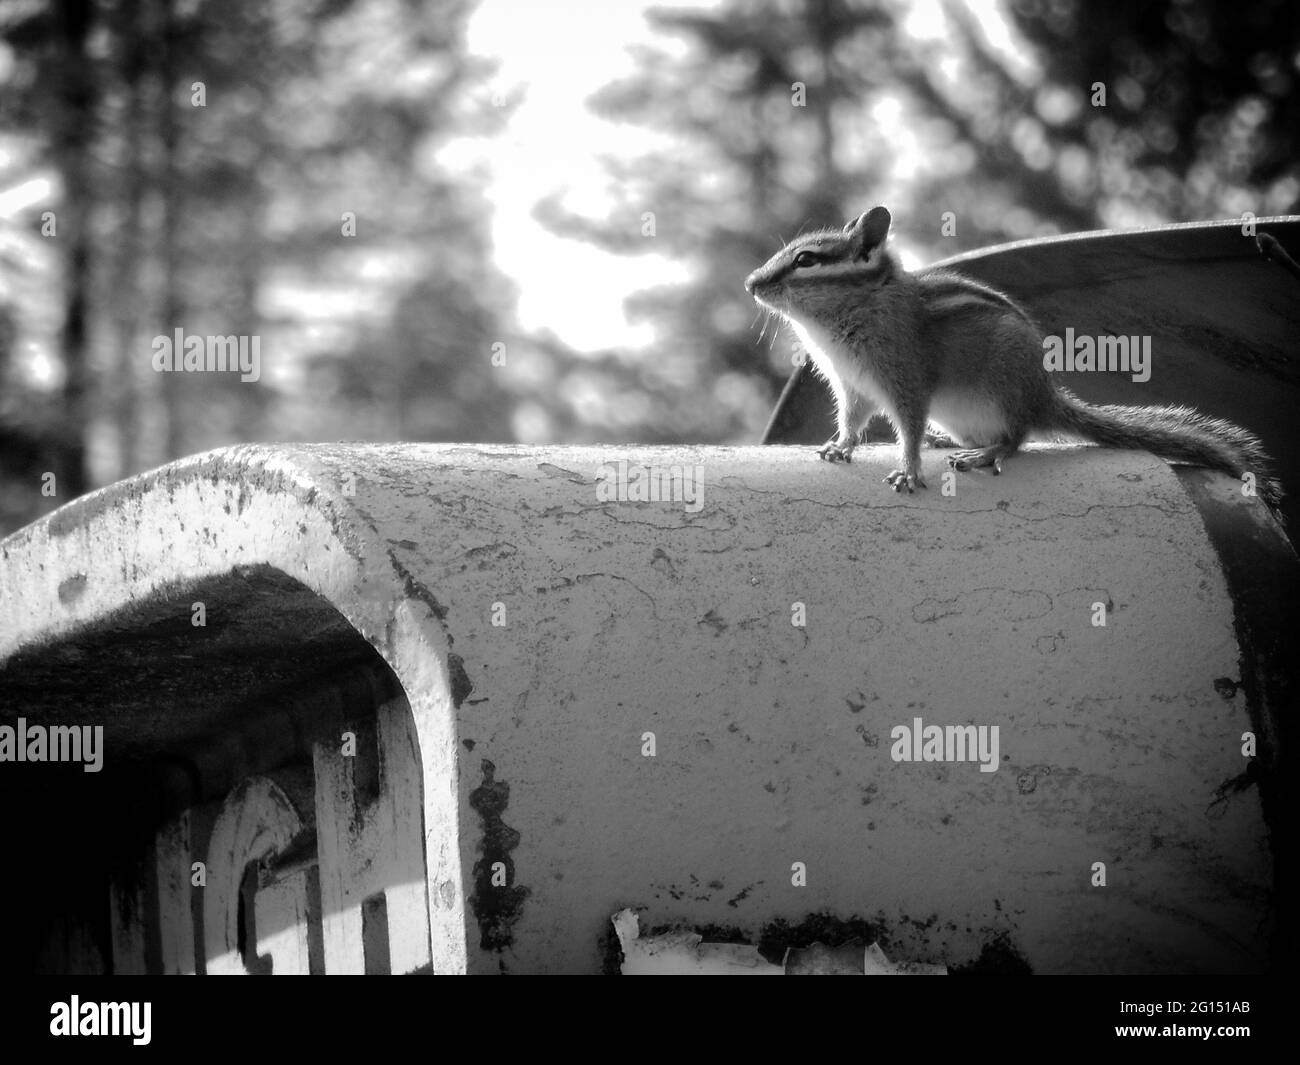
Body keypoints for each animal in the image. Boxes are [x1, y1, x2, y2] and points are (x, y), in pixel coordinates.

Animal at [745, 206, 1281, 511]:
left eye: (806, 260)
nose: (751, 283)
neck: (850, 313)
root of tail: (1047, 398)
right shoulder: (852, 385)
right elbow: (852, 421)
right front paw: (840, 446)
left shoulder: (906, 378)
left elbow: (909, 427)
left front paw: (910, 469)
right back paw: (948, 441)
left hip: (1004, 393)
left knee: (1018, 439)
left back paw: (987, 453)